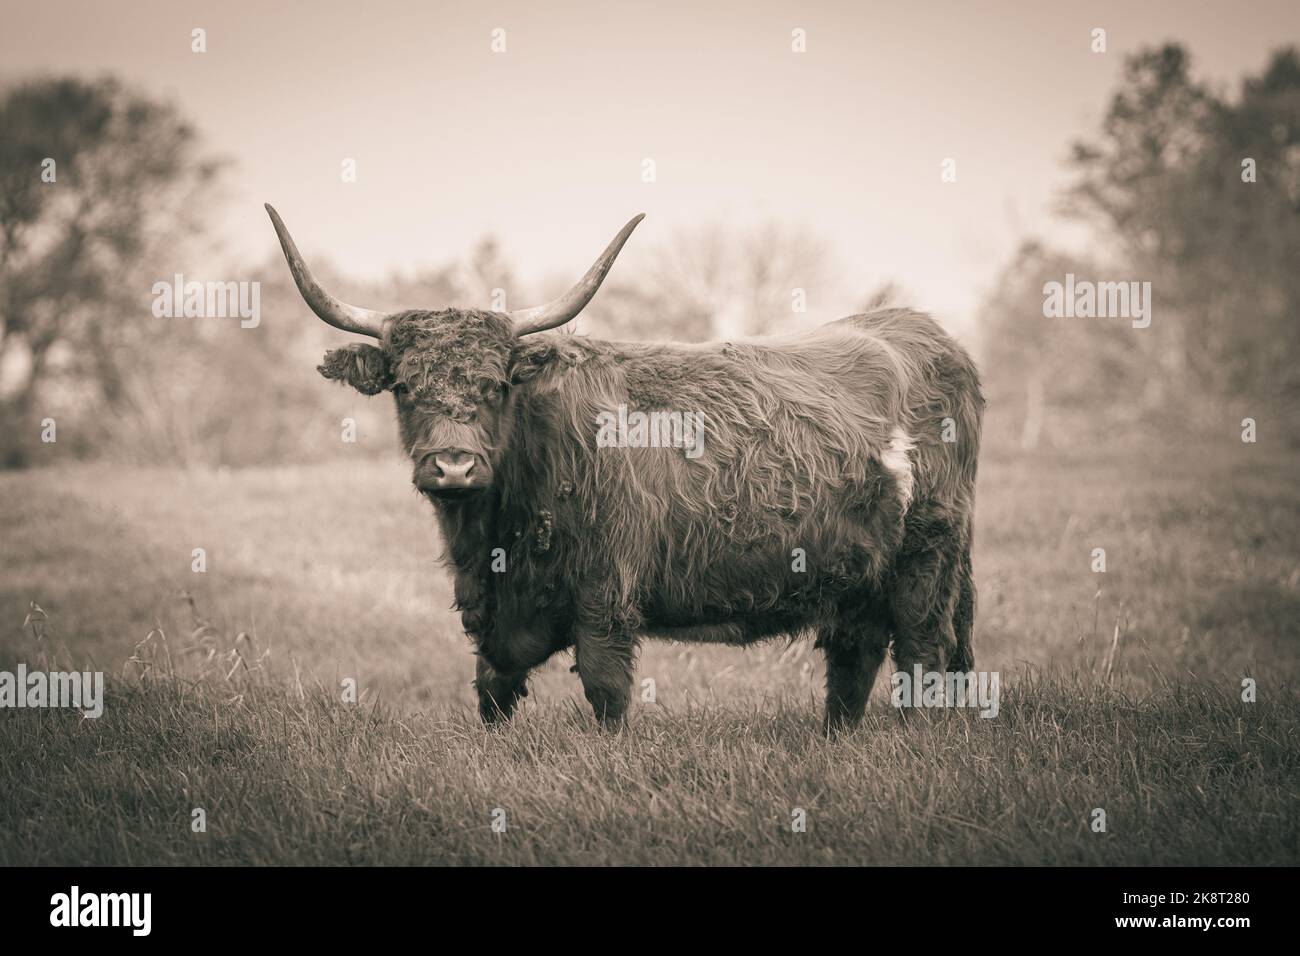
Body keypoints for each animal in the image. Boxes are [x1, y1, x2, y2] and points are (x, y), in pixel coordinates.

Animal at [266, 205, 984, 732]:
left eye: (495, 387)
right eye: (406, 388)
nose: (453, 465)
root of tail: (921, 331)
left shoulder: (606, 597)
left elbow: (607, 692)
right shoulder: (491, 623)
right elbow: (492, 694)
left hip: (927, 559)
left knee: (922, 651)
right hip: (856, 575)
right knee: (853, 659)